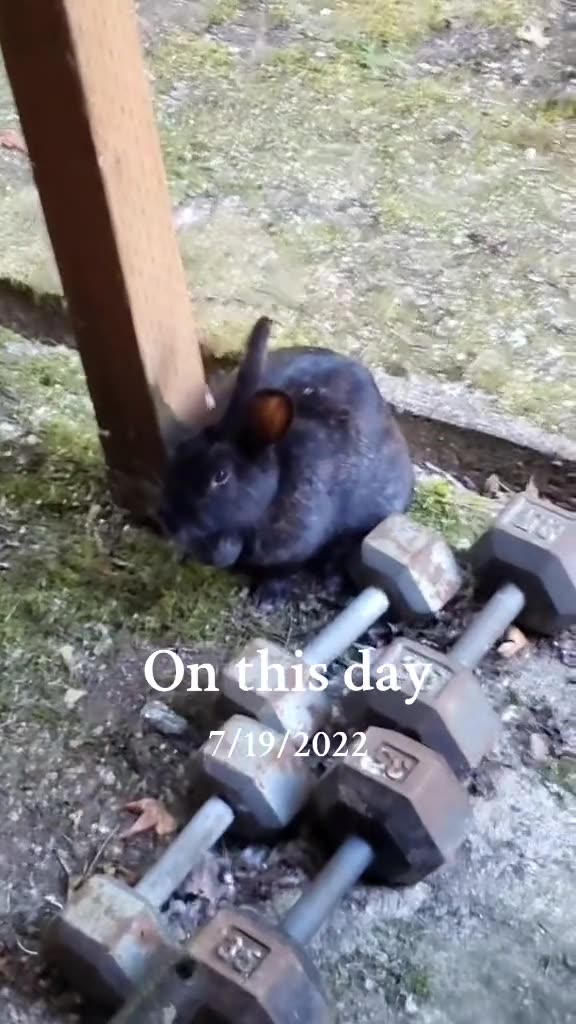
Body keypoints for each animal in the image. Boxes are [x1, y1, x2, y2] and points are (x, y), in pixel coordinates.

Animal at [159, 316, 415, 599]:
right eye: (183, 448)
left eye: (221, 476)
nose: (166, 518)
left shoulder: (296, 545)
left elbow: (282, 570)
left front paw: (267, 597)